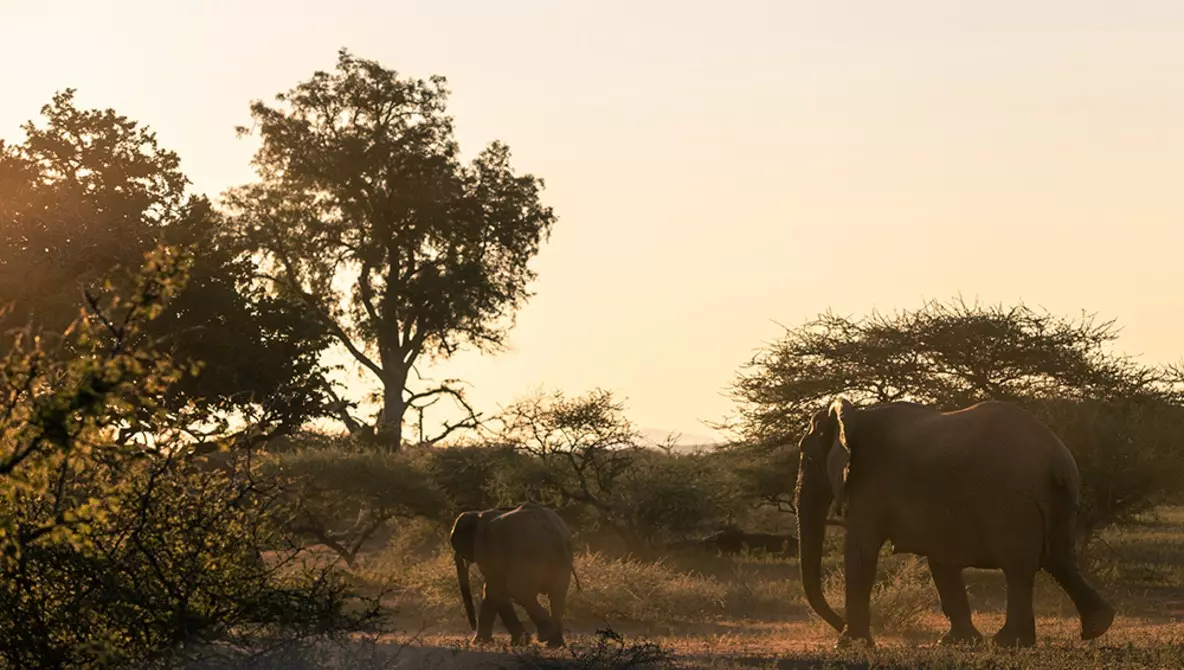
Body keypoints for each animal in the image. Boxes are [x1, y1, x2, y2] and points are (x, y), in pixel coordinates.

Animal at [449, 501, 580, 648]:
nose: (472, 628)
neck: (477, 513)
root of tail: (550, 526)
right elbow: (492, 590)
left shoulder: (487, 546)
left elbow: (494, 587)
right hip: (560, 555)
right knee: (556, 594)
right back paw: (554, 643)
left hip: (527, 553)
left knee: (519, 591)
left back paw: (546, 638)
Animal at [790, 400, 1112, 653]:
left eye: (807, 455)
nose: (838, 624)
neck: (854, 416)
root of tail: (1056, 457)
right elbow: (941, 559)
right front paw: (957, 643)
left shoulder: (871, 482)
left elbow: (860, 549)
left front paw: (848, 645)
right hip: (1057, 497)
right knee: (1060, 559)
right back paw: (1096, 626)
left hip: (1012, 501)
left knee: (1019, 566)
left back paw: (1009, 642)